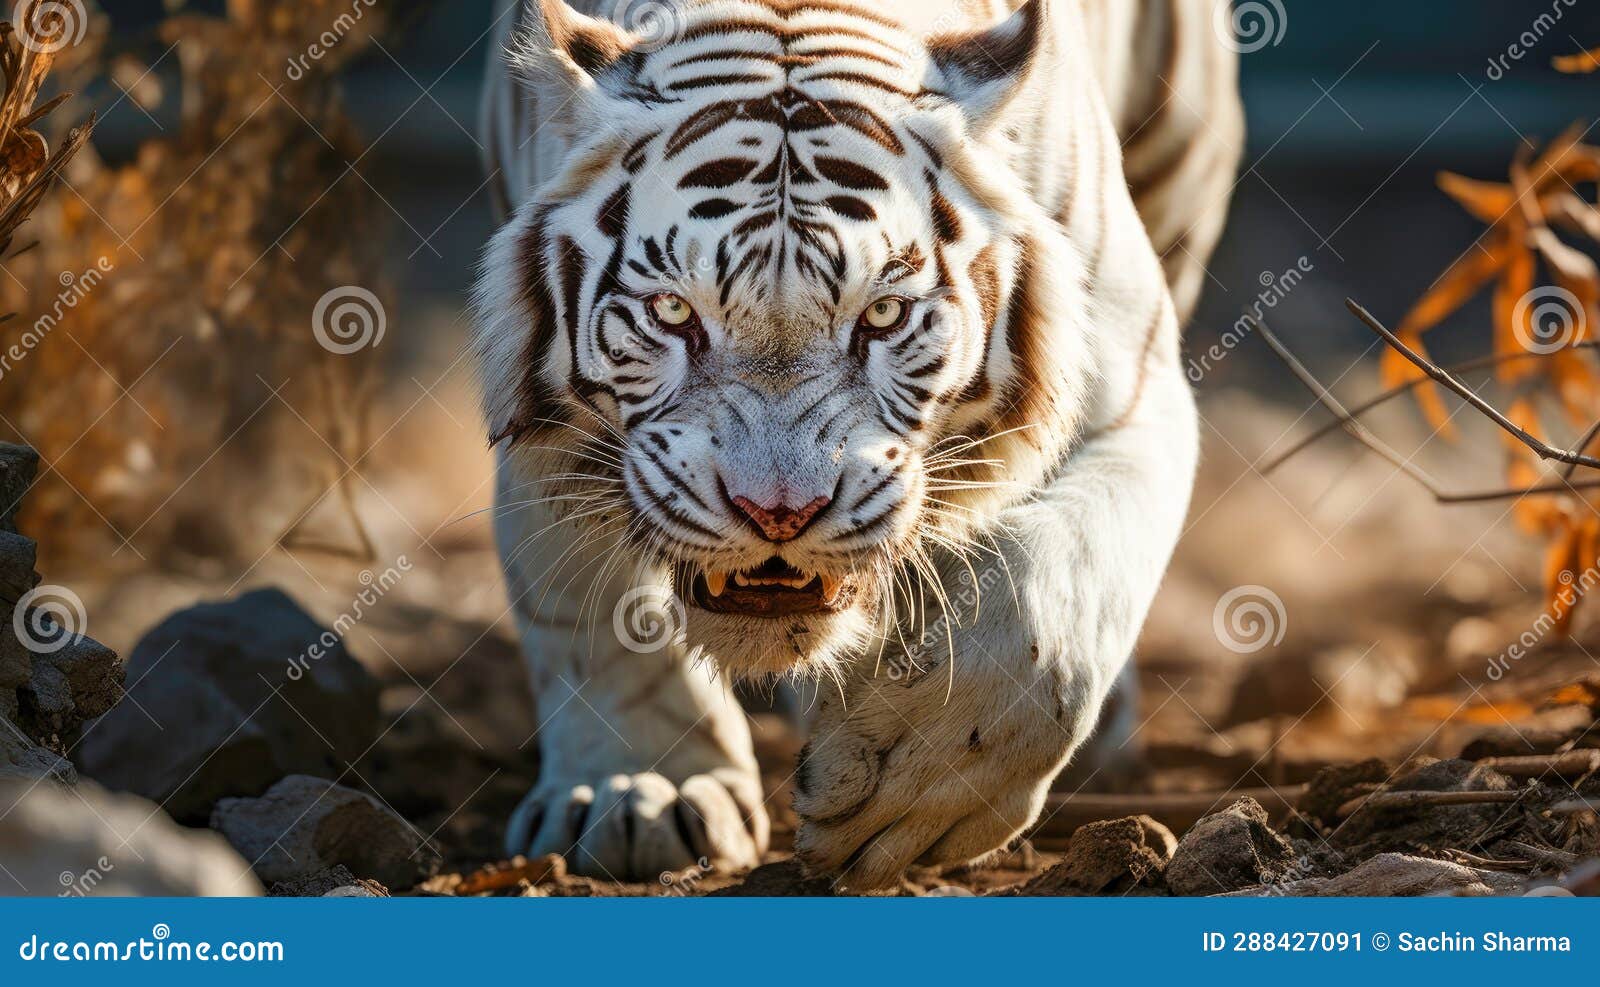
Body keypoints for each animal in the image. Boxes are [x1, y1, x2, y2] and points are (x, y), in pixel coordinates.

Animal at [474, 0, 1241, 890]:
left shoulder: (1131, 391)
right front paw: (637, 789)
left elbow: (1051, 591)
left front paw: (916, 771)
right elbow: (587, 604)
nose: (778, 513)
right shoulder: (547, 430)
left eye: (881, 315)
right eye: (671, 311)